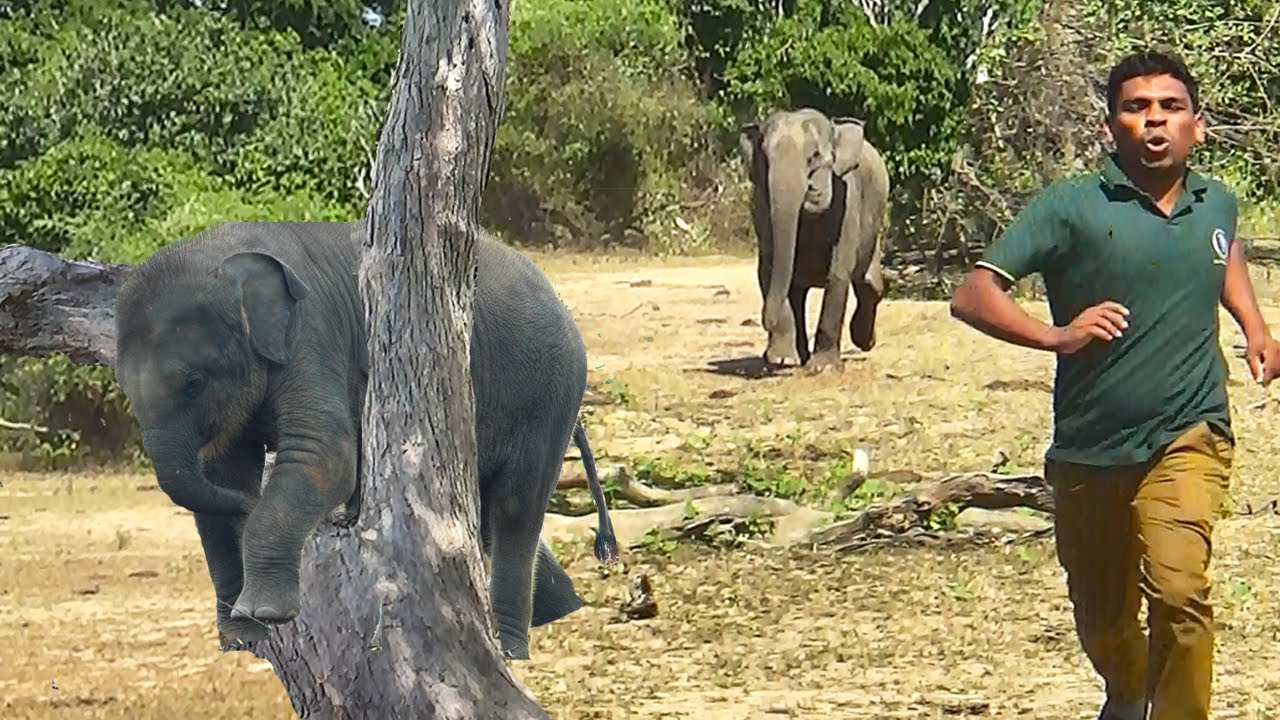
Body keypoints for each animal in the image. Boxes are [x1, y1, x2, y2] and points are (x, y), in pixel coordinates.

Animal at [112, 219, 619, 660]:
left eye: (194, 384)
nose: (250, 503)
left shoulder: (312, 335)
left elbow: (326, 456)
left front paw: (266, 614)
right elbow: (224, 477)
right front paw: (241, 637)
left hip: (550, 391)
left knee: (514, 509)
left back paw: (511, 649)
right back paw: (562, 611)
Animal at [739, 107, 891, 371]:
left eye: (815, 156)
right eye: (765, 158)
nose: (764, 321)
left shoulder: (847, 201)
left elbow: (838, 274)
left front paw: (824, 368)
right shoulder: (760, 205)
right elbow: (768, 268)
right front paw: (781, 360)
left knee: (870, 286)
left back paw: (863, 342)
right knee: (798, 292)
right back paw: (798, 357)